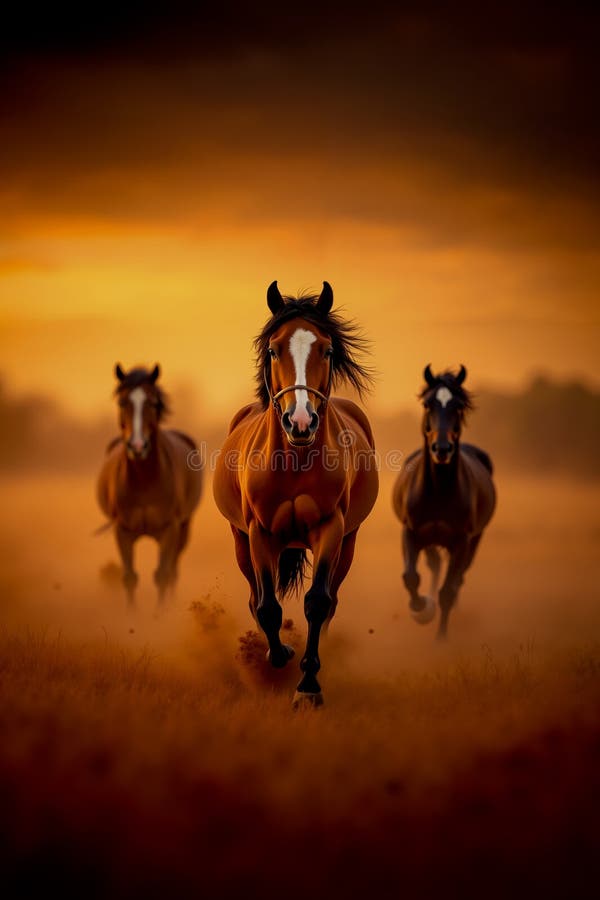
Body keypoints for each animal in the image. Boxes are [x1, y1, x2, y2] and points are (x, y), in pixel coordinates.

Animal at [97, 364, 203, 608]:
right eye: (122, 402)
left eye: (153, 403)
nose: (137, 446)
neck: (144, 480)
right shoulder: (122, 531)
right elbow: (129, 577)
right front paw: (132, 613)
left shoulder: (170, 529)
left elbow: (163, 575)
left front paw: (161, 614)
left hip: (184, 529)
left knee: (173, 570)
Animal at [213, 281, 379, 707]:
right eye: (274, 349)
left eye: (328, 350)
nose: (300, 421)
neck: (294, 462)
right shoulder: (259, 533)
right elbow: (267, 606)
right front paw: (280, 655)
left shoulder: (330, 529)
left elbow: (317, 602)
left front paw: (308, 686)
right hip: (240, 541)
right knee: (255, 597)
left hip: (348, 542)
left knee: (331, 600)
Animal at [392, 365, 496, 638]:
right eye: (428, 404)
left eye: (458, 405)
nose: (442, 449)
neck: (439, 491)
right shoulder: (411, 533)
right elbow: (411, 577)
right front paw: (421, 609)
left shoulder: (462, 541)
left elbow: (448, 591)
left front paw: (441, 638)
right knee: (435, 565)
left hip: (473, 541)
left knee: (457, 578)